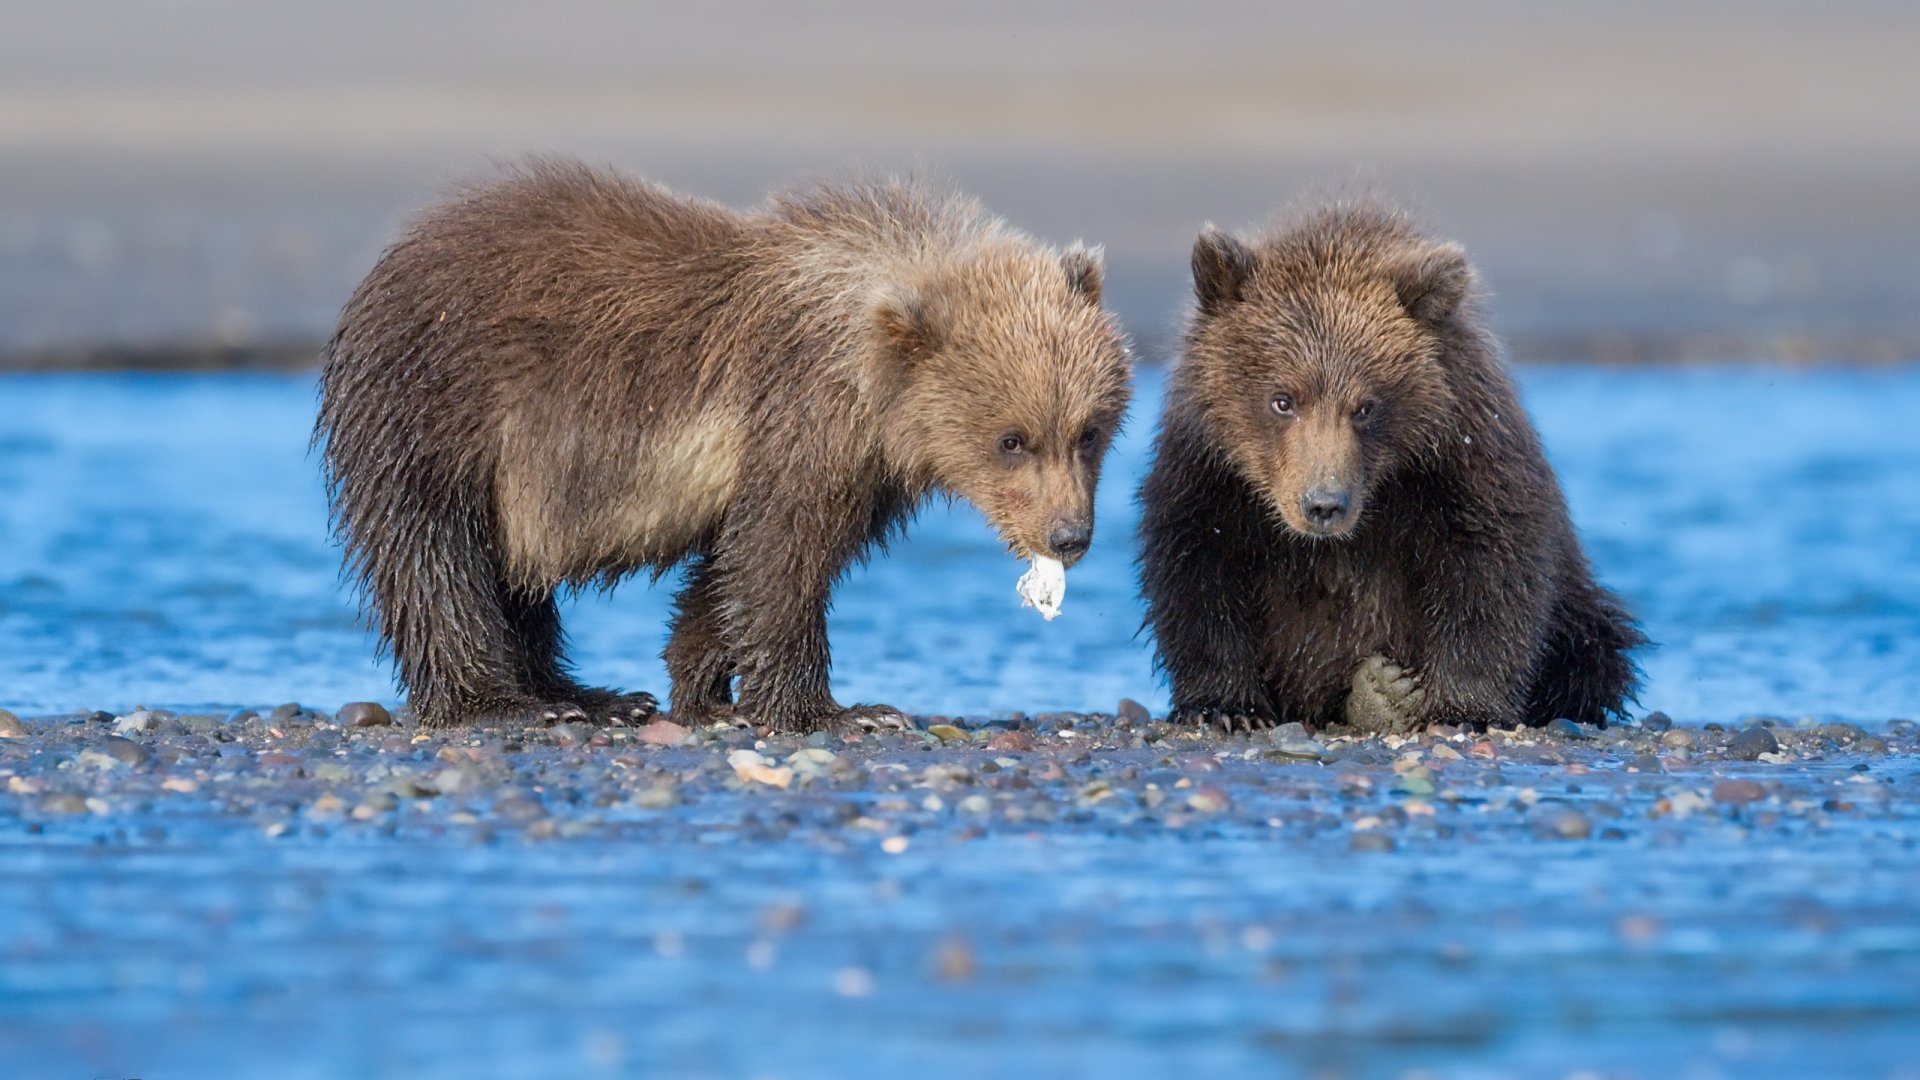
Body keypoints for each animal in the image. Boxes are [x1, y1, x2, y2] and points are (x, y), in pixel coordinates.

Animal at [317, 159, 1132, 733]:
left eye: (1089, 430)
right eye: (1012, 439)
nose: (1068, 535)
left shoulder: (861, 464)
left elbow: (736, 562)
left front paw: (704, 689)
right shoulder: (804, 414)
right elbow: (781, 558)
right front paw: (838, 711)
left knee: (512, 580)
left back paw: (592, 694)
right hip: (443, 409)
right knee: (436, 558)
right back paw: (506, 700)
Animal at [1138, 200, 1643, 734]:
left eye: (1365, 407)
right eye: (1282, 399)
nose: (1323, 504)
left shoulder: (1458, 457)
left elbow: (1492, 566)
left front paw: (1462, 709)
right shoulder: (1213, 474)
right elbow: (1198, 571)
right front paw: (1226, 707)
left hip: (1576, 604)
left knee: (1591, 648)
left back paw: (1381, 693)